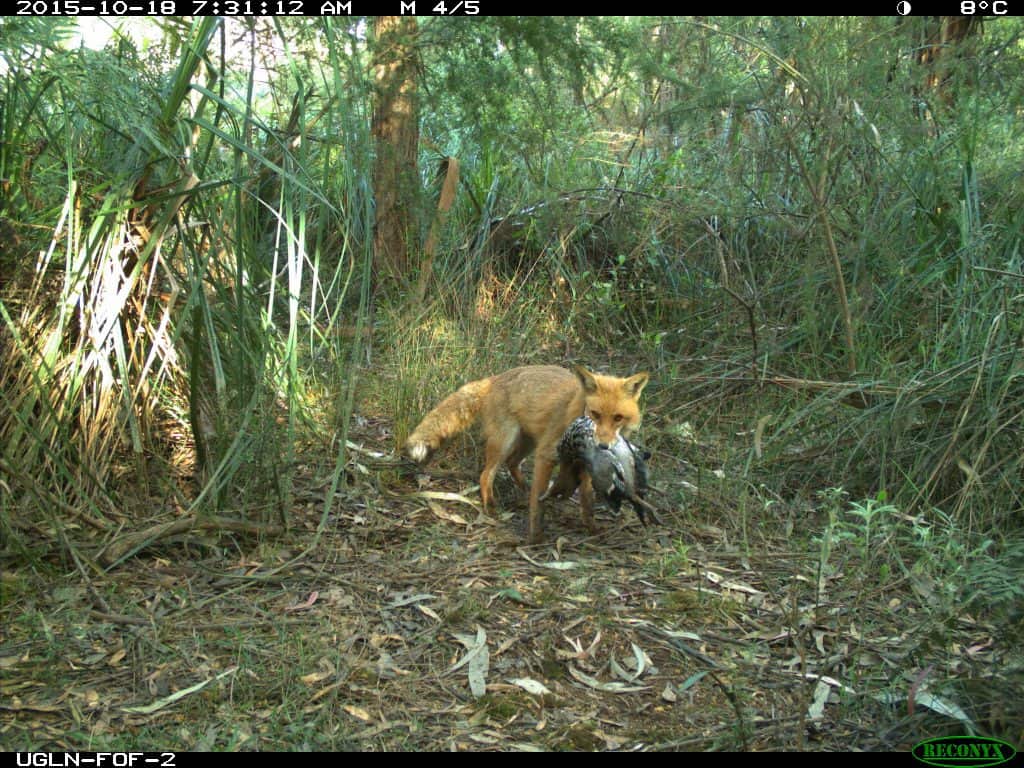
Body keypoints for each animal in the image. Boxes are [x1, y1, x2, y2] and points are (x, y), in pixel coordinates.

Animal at [405, 364, 649, 544]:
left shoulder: (585, 466)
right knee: (486, 475)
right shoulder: (546, 455)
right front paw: (535, 536)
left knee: (513, 464)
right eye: (596, 414)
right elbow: (537, 505)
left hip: (527, 442)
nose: (603, 446)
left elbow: (587, 504)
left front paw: (592, 529)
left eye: (618, 418)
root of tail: (495, 378)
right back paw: (491, 507)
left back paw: (523, 488)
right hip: (506, 442)